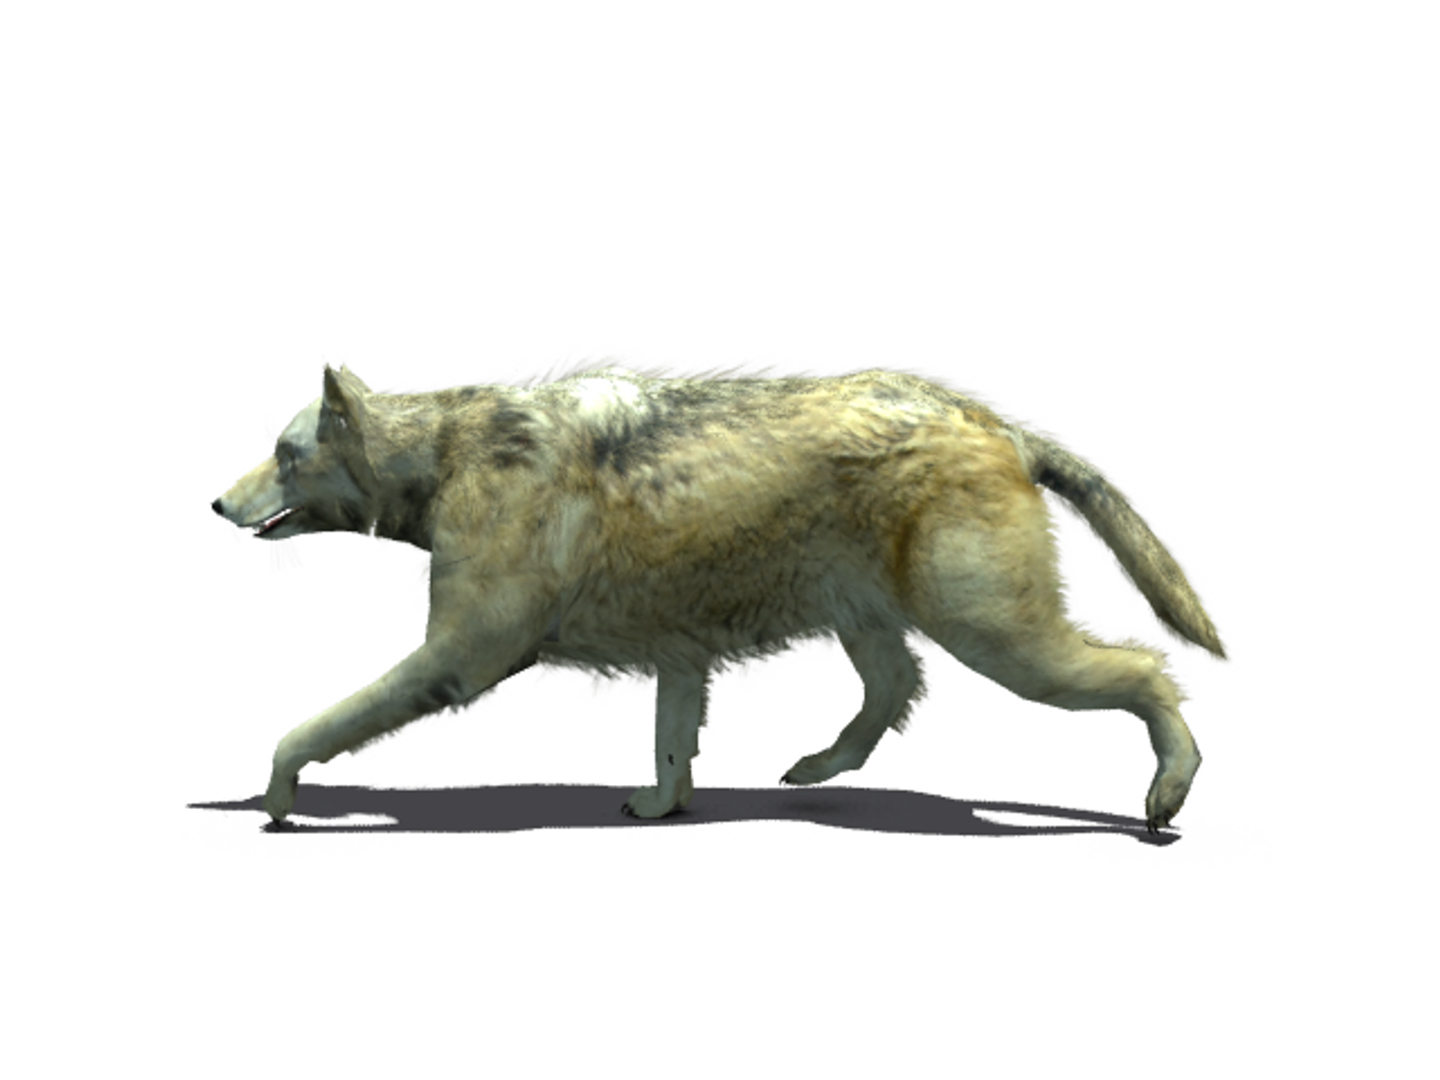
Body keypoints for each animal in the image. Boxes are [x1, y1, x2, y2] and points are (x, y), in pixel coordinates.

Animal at [213, 364, 1224, 831]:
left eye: (286, 454)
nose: (216, 503)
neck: (445, 456)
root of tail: (997, 424)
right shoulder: (681, 657)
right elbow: (671, 751)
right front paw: (663, 809)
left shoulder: (460, 660)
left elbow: (313, 726)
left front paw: (278, 792)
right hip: (874, 618)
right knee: (896, 689)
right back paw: (817, 769)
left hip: (1000, 639)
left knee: (1151, 675)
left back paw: (1167, 794)